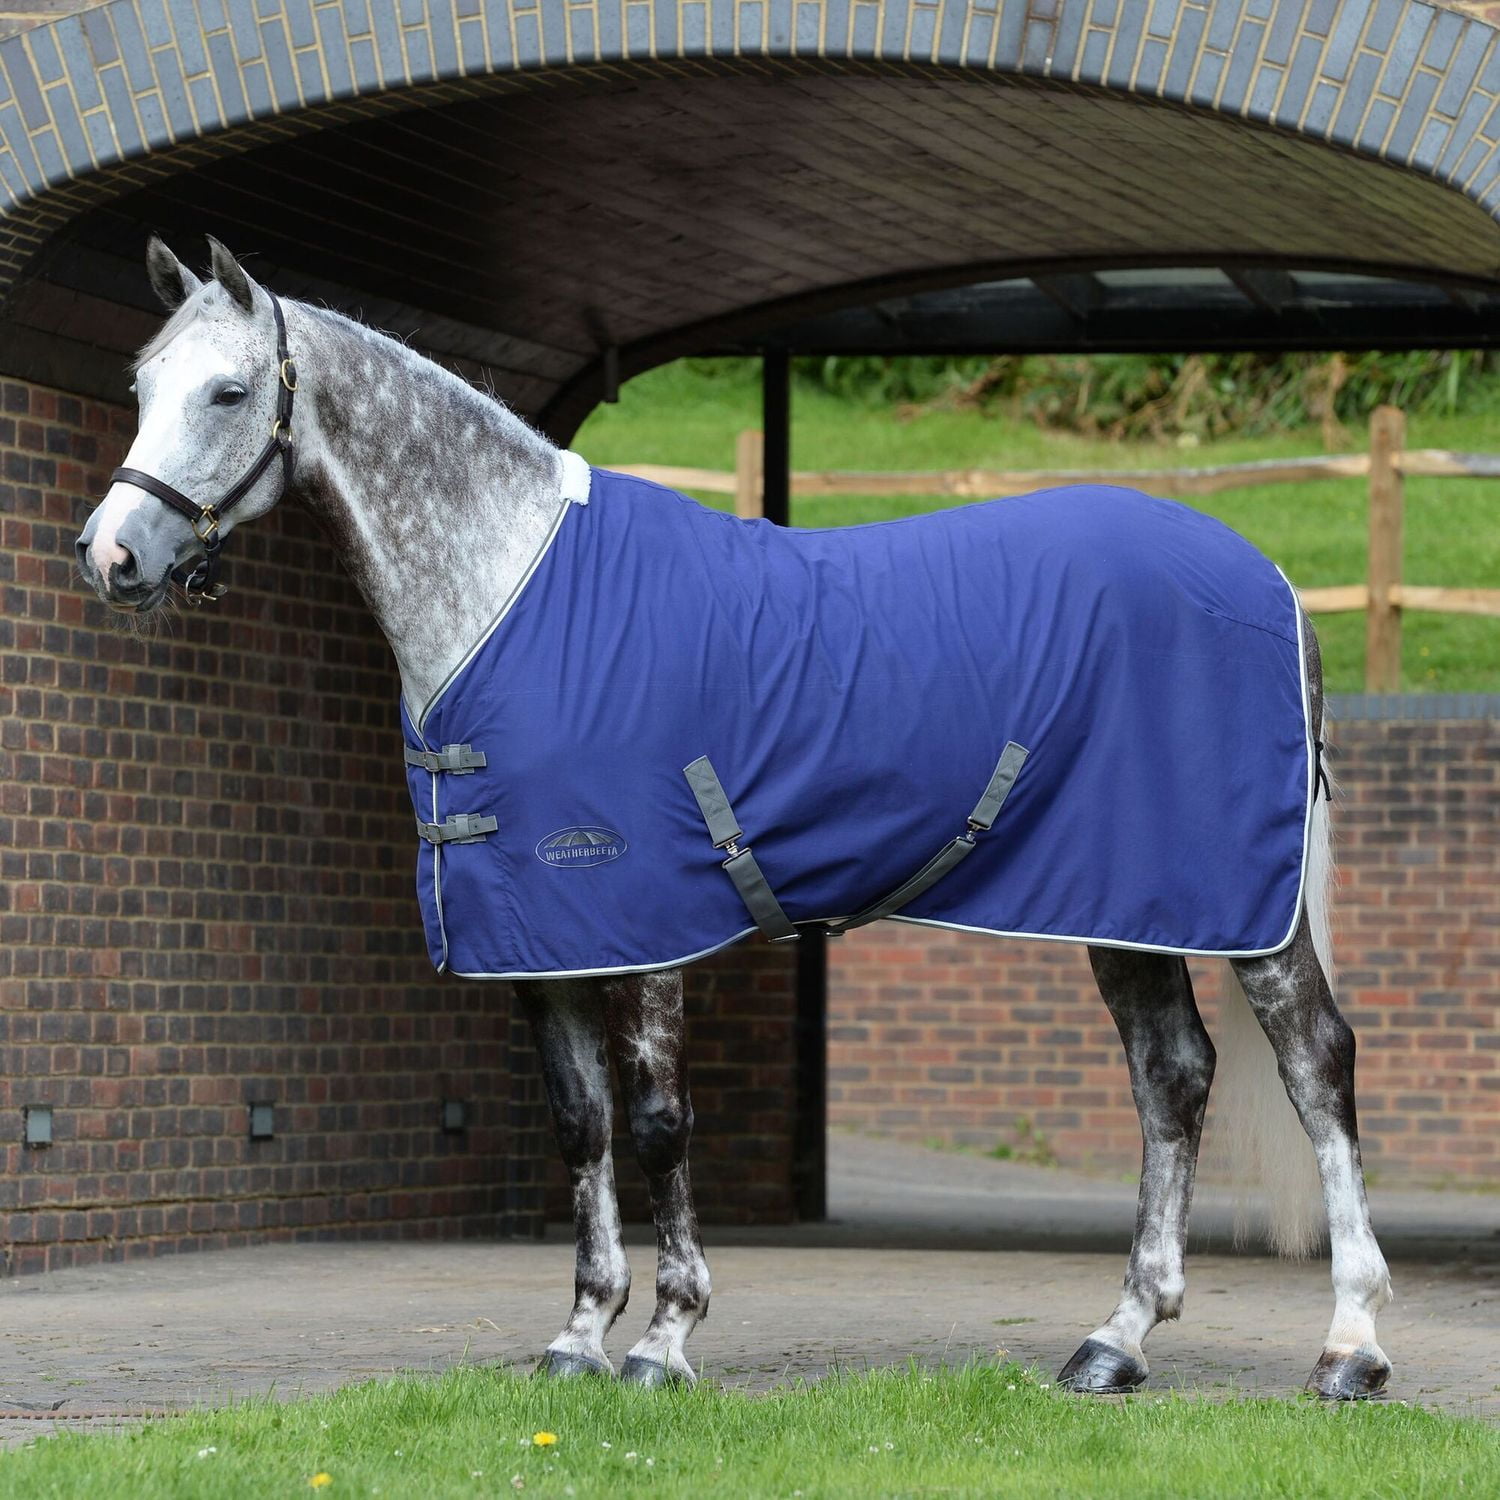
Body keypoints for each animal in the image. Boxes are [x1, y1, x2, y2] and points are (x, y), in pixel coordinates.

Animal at [74, 238, 1392, 1400]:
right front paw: (579, 1338)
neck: (515, 594)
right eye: (139, 385)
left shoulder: (649, 925)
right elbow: (580, 1127)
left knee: (1315, 1066)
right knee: (1172, 1078)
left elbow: (658, 1125)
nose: (111, 555)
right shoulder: (542, 945)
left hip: (1245, 915)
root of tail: (1273, 581)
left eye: (230, 389)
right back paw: (1117, 1343)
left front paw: (664, 1341)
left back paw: (1350, 1350)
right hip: (1128, 902)